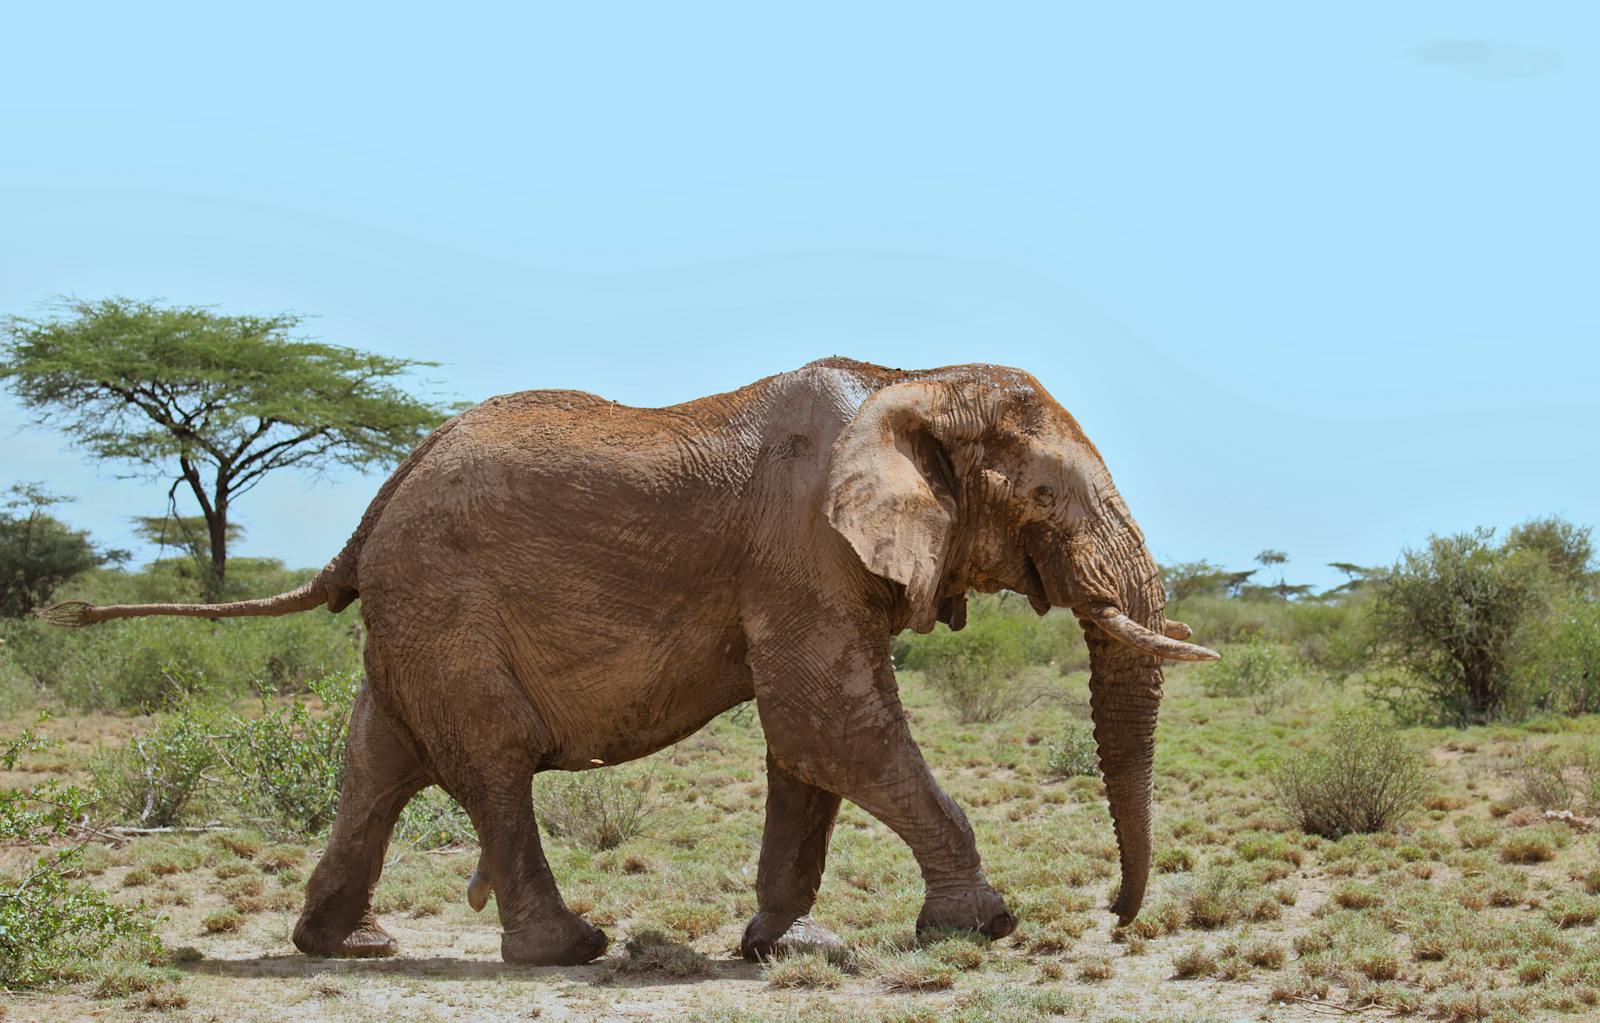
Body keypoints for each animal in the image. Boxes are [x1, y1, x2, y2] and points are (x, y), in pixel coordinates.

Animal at [44, 357, 1217, 966]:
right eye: (1046, 498)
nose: (1118, 918)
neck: (910, 380)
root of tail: (376, 504)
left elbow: (809, 750)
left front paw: (784, 947)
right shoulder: (800, 552)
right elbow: (827, 723)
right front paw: (979, 927)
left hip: (410, 619)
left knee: (375, 766)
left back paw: (350, 944)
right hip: (443, 605)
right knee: (492, 761)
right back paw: (567, 948)